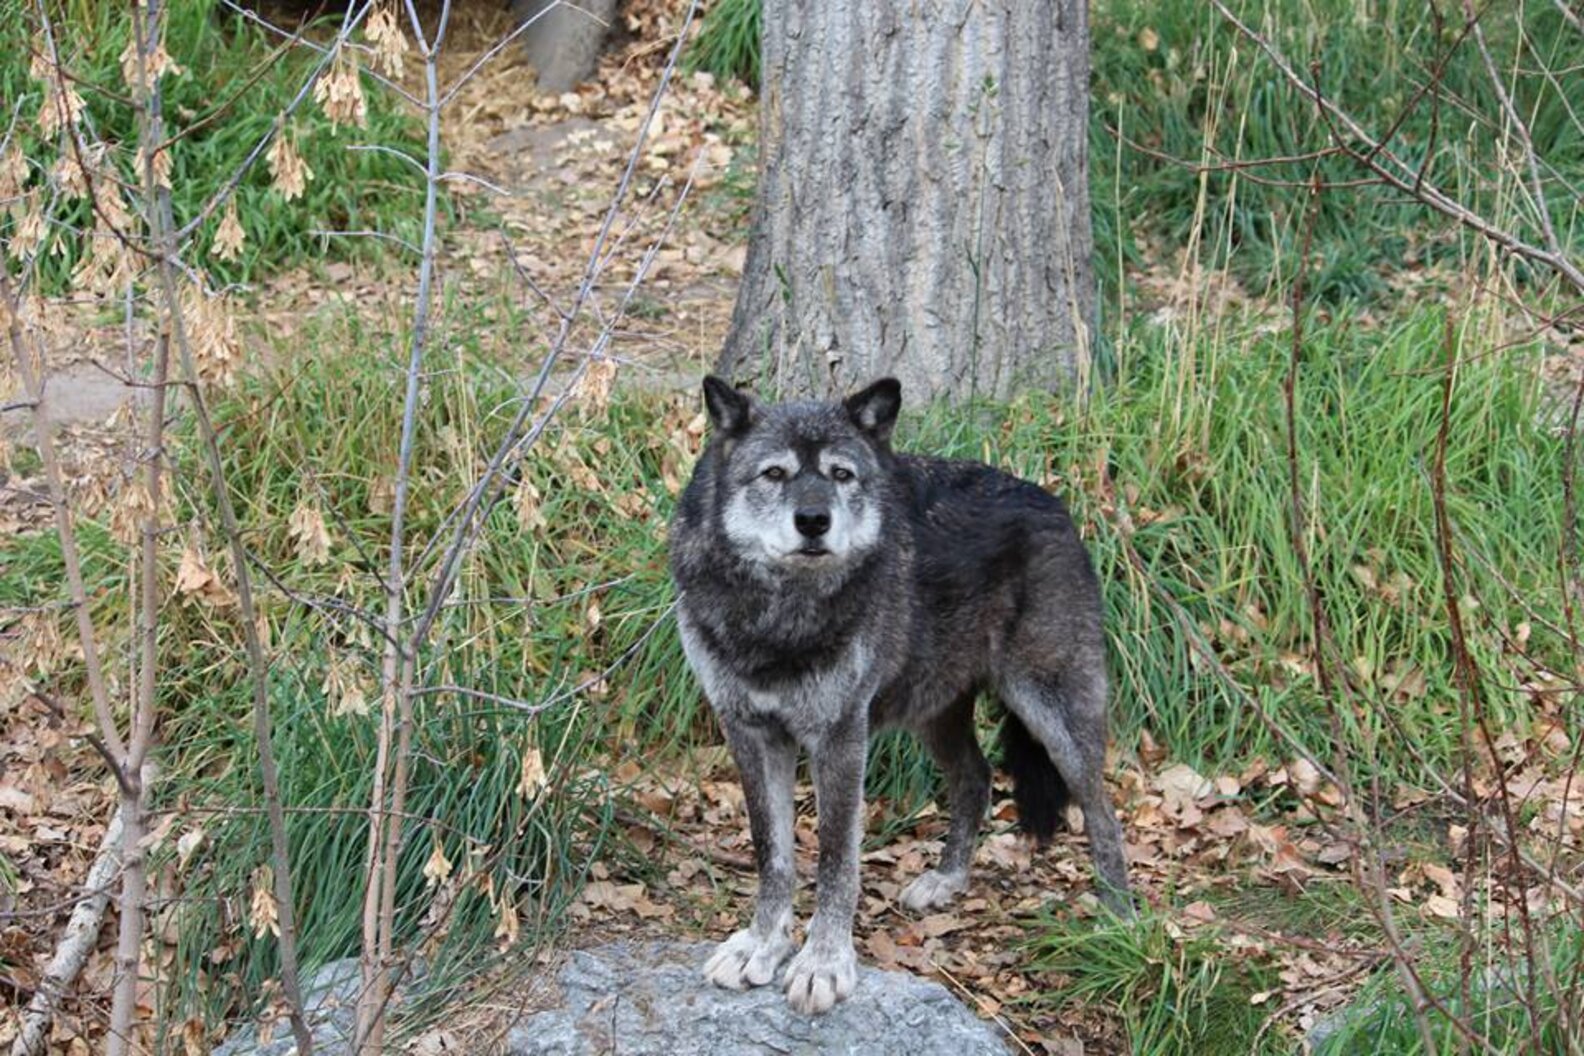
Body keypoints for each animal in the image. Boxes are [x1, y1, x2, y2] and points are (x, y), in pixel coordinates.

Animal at [667, 376, 1129, 1015]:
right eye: (774, 473)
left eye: (841, 474)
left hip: (1054, 715)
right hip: (934, 711)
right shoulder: (750, 733)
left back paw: (1119, 919)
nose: (813, 520)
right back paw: (947, 880)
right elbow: (773, 854)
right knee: (977, 778)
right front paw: (762, 945)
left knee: (1103, 813)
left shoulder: (841, 736)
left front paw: (822, 963)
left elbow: (836, 859)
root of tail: (1052, 501)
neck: (780, 619)